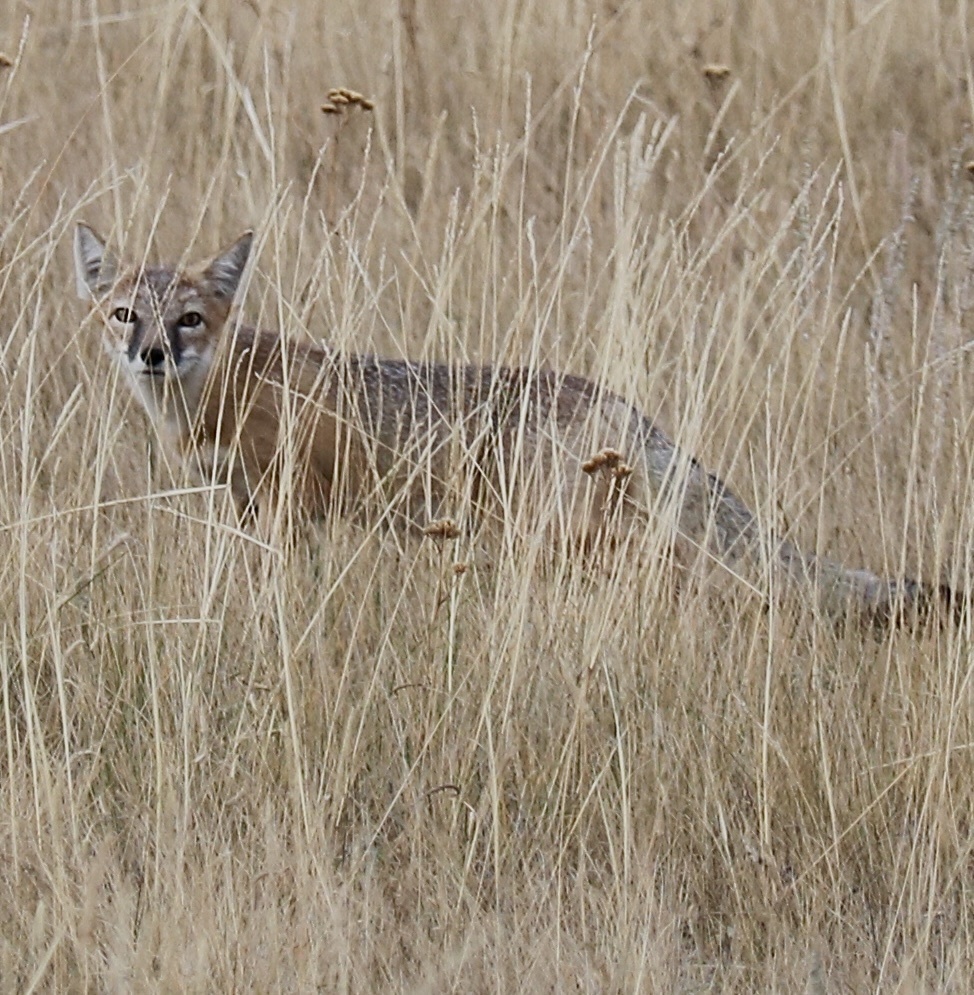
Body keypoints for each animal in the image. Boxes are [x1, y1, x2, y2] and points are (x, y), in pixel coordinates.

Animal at [73, 222, 956, 630]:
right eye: (124, 314)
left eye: (188, 319)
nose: (151, 354)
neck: (213, 393)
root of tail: (616, 399)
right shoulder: (251, 504)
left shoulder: (290, 507)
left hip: (574, 543)